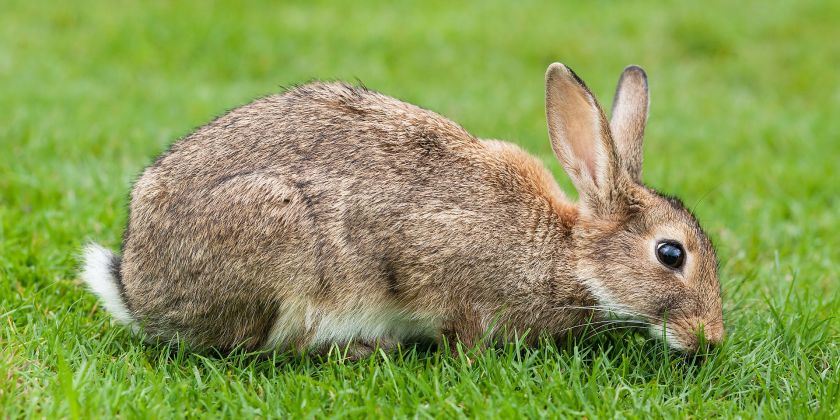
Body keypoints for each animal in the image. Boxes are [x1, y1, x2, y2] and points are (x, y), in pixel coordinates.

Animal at [81, 63, 724, 357]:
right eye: (671, 254)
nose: (711, 338)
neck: (569, 254)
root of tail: (135, 287)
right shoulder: (439, 266)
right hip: (279, 248)